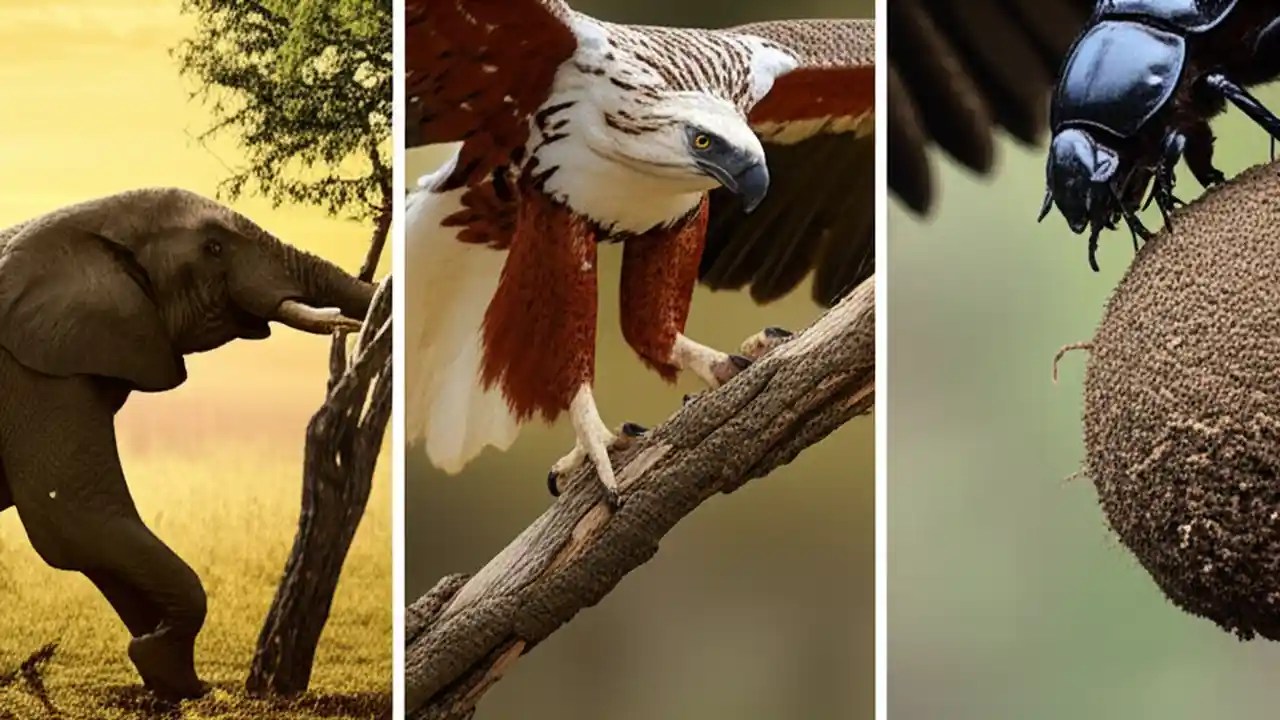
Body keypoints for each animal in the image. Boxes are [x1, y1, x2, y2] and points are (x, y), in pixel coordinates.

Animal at [0, 187, 375, 699]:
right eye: (214, 248)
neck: (89, 220)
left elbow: (96, 540)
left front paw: (169, 676)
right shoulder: (36, 371)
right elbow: (75, 523)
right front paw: (179, 677)